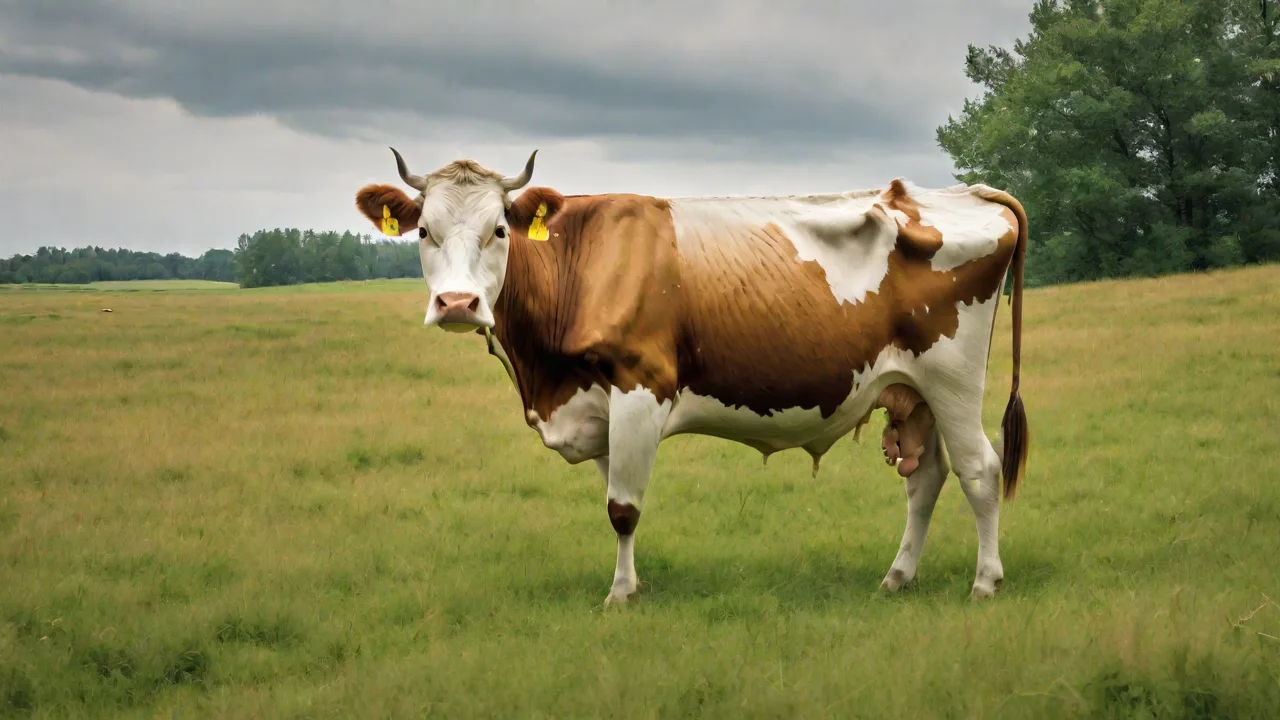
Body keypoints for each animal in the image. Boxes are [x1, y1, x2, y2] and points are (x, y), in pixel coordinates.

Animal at [354, 148, 1030, 605]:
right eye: (423, 231)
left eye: (499, 229)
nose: (458, 304)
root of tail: (967, 192)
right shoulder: (598, 405)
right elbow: (615, 500)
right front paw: (630, 583)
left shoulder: (640, 384)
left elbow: (623, 508)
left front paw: (618, 597)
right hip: (914, 391)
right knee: (927, 479)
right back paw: (897, 576)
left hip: (953, 379)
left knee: (980, 471)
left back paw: (986, 581)